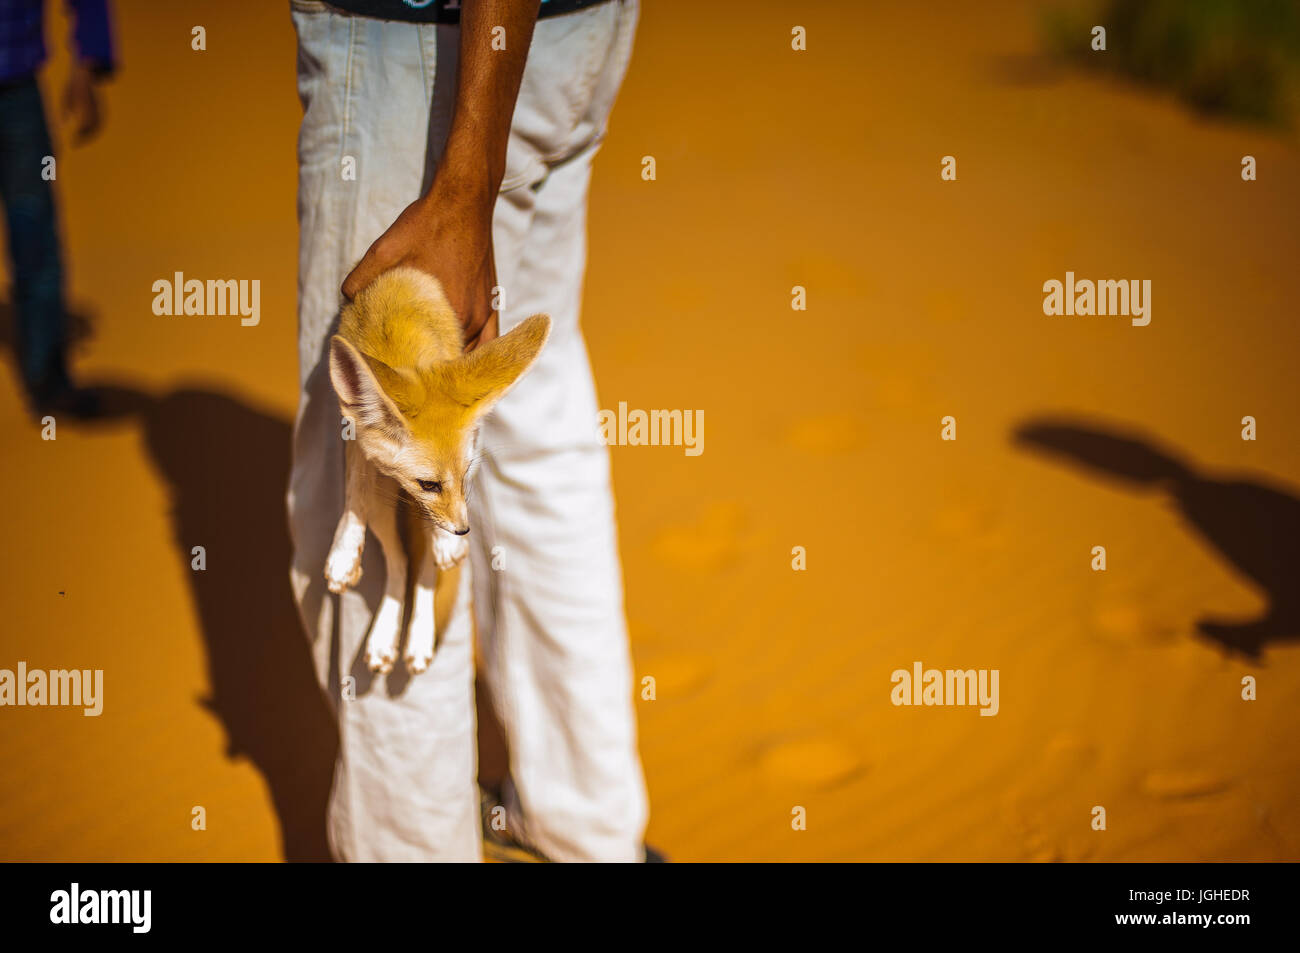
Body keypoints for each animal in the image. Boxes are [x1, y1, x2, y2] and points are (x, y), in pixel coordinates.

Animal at [324, 266, 551, 675]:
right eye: (428, 483)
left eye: (465, 473)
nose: (463, 530)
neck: (397, 322)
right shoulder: (355, 431)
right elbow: (354, 492)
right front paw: (344, 552)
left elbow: (436, 540)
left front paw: (448, 544)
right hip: (384, 510)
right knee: (400, 560)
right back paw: (385, 636)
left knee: (421, 563)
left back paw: (417, 633)